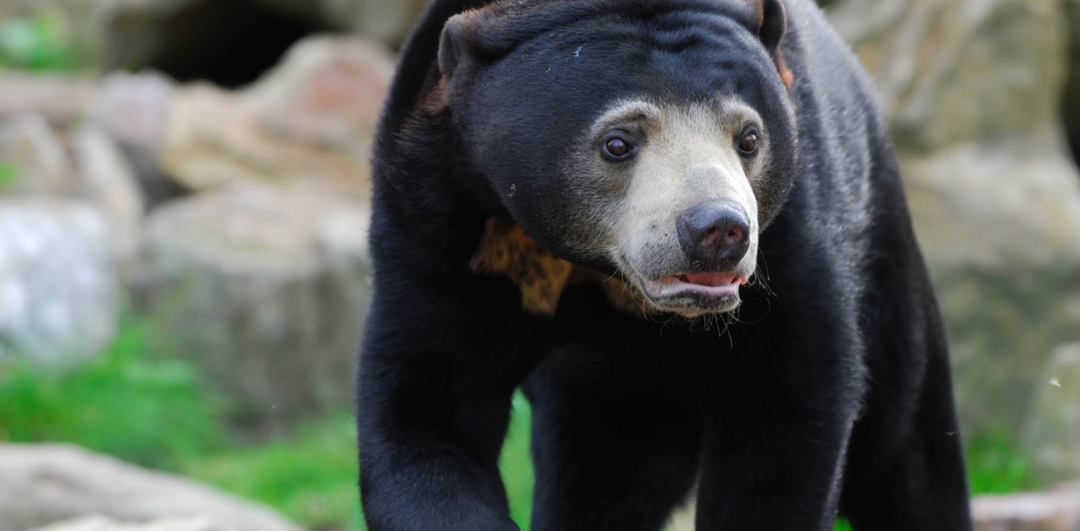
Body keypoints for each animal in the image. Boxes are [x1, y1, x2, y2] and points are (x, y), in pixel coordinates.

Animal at [357, 0, 974, 530]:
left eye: (749, 137)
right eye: (618, 143)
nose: (718, 230)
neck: (603, 277)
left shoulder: (796, 238)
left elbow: (789, 410)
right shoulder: (436, 223)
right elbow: (425, 408)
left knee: (908, 455)